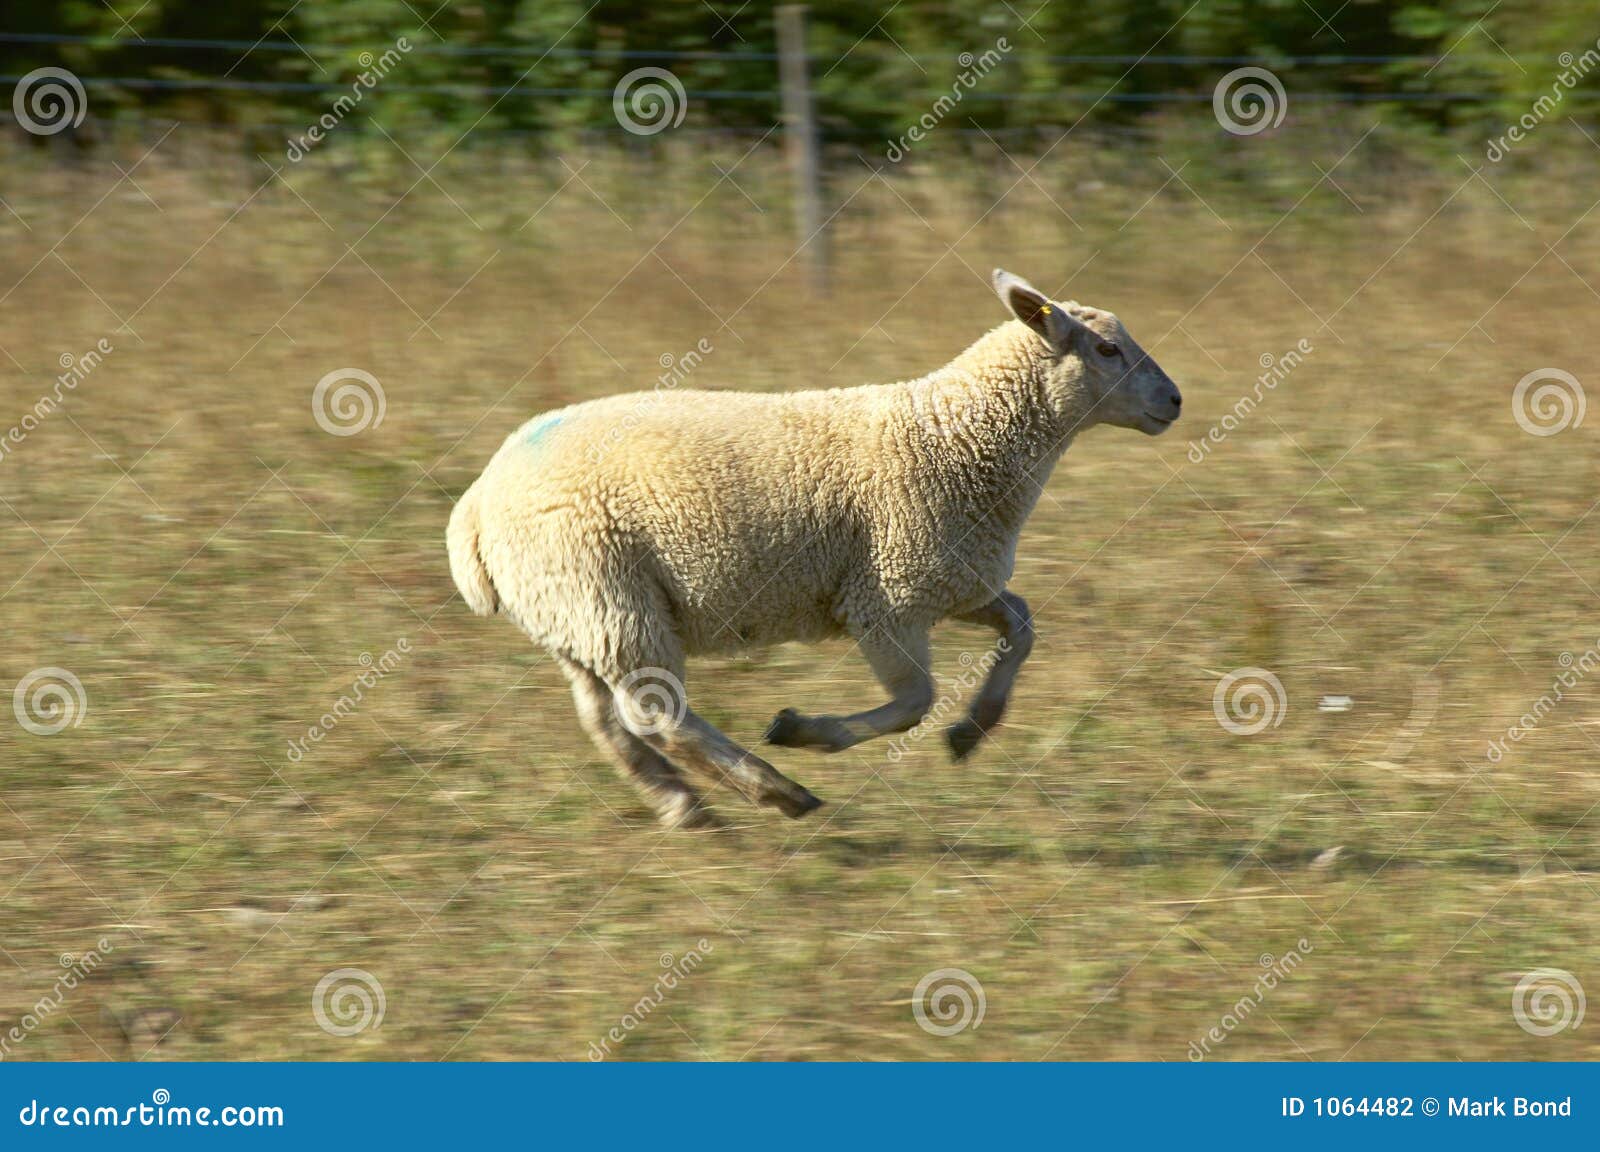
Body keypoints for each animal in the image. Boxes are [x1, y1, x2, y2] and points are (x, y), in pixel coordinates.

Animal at [447, 269, 1183, 829]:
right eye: (1107, 350)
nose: (1175, 400)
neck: (956, 435)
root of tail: (475, 508)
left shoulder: (950, 583)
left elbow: (1022, 627)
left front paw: (971, 732)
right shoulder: (889, 597)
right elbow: (914, 703)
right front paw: (806, 731)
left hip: (576, 617)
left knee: (606, 721)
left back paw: (683, 803)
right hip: (608, 599)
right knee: (657, 716)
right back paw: (774, 789)